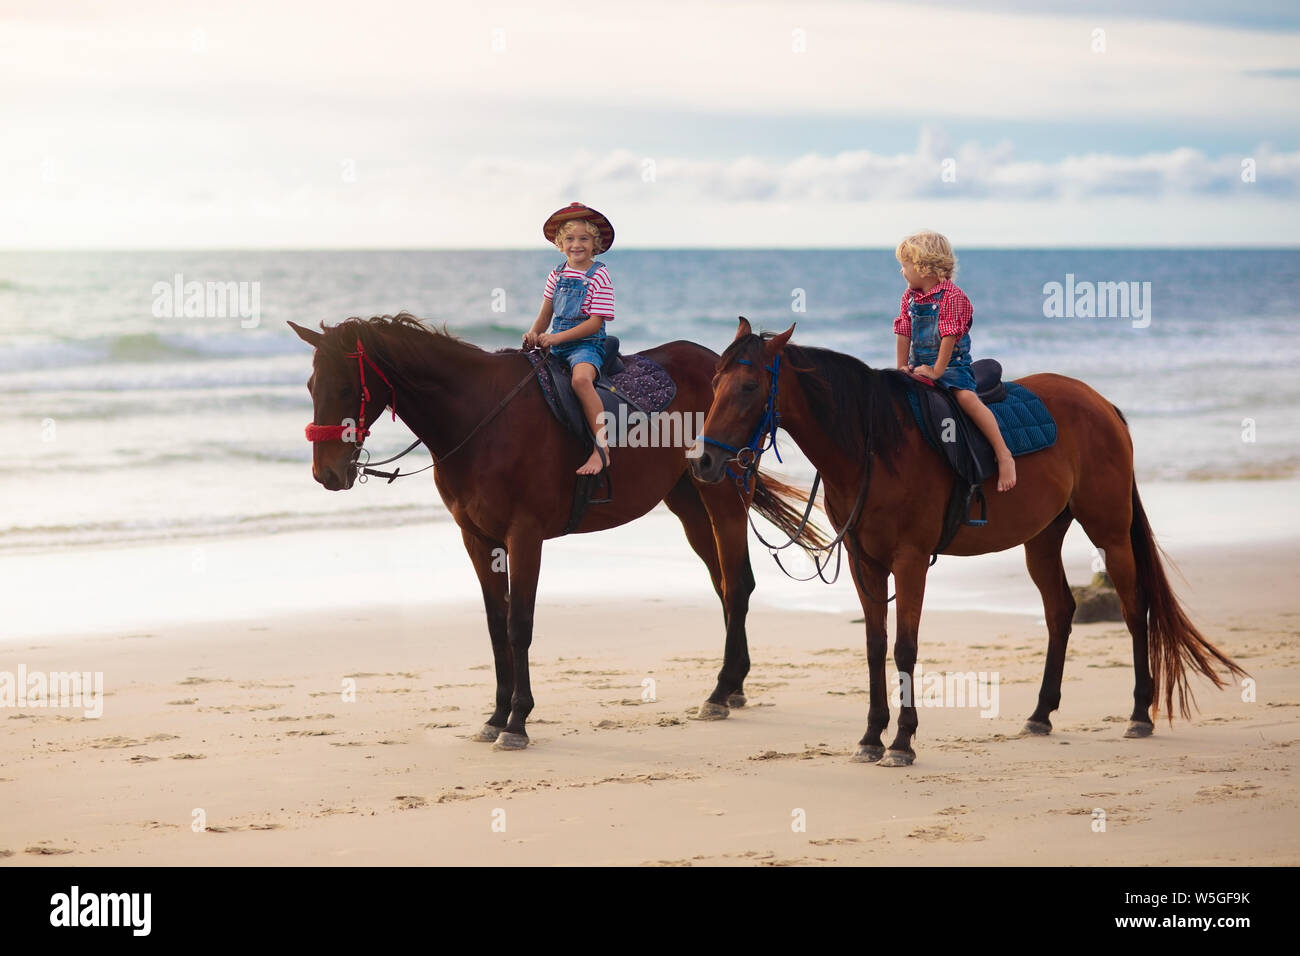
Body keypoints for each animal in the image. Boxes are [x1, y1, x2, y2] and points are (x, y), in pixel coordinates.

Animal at [289, 313, 825, 750]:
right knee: (724, 584)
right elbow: (495, 626)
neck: (480, 418)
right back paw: (732, 687)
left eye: (344, 389)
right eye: (312, 386)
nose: (326, 473)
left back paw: (720, 690)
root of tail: (718, 364)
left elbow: (518, 625)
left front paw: (517, 722)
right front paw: (496, 715)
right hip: (688, 503)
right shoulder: (477, 539)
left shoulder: (523, 536)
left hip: (721, 498)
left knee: (737, 585)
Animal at [690, 318, 1246, 767]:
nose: (702, 461)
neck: (874, 445)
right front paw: (871, 737)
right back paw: (1041, 713)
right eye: (713, 383)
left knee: (1134, 610)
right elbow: (874, 646)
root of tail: (1102, 404)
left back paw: (1138, 713)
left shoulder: (911, 560)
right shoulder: (864, 561)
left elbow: (905, 647)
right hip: (1043, 538)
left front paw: (902, 743)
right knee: (1060, 612)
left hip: (1108, 532)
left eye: (748, 386)